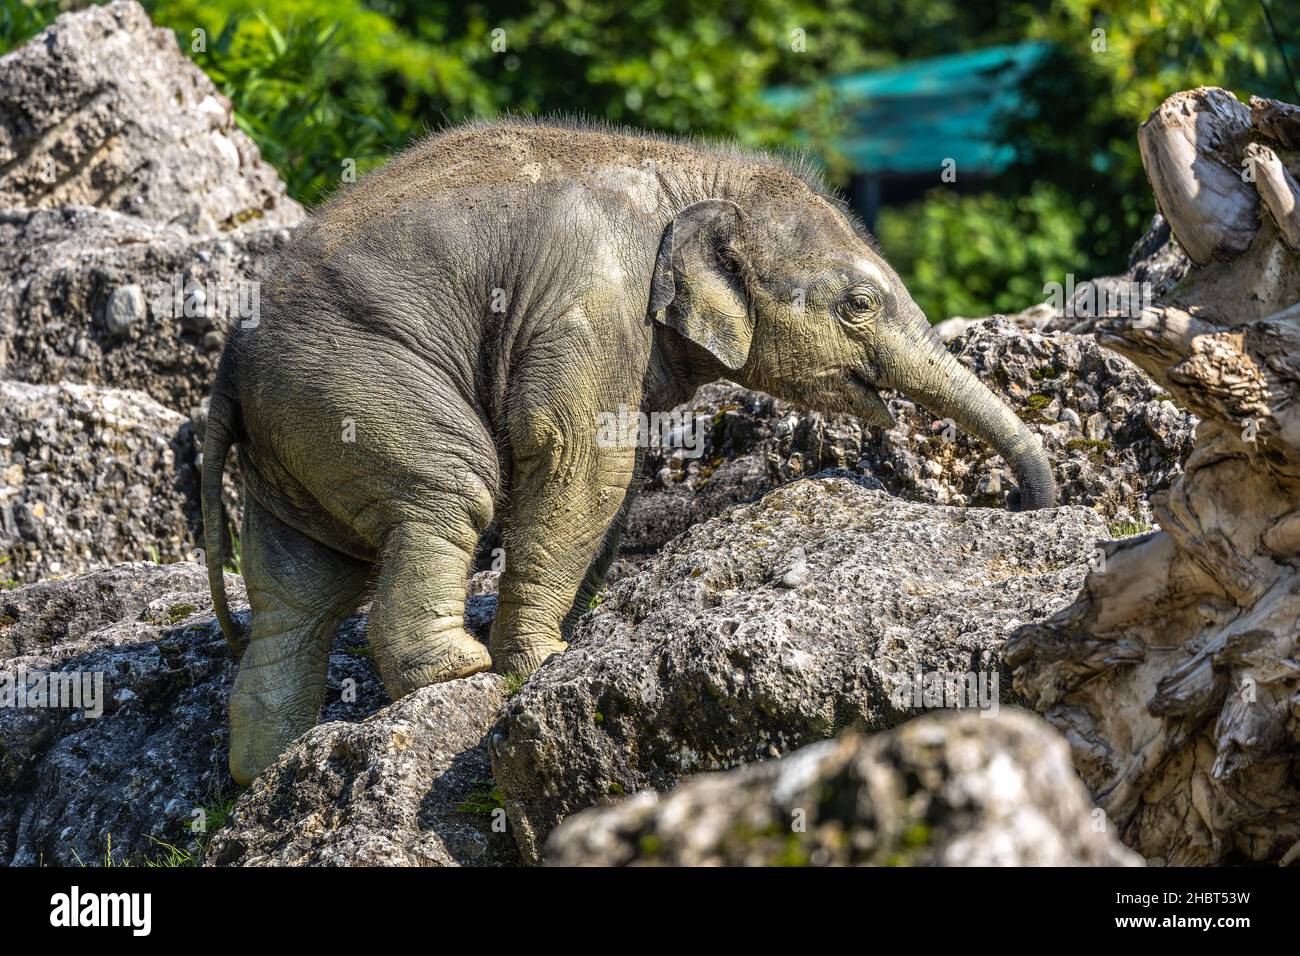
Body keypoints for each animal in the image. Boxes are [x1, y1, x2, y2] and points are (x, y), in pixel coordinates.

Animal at [202, 119, 1055, 784]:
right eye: (859, 305)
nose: (1026, 504)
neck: (691, 170)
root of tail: (230, 367)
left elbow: (616, 479)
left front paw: (564, 644)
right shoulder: (590, 304)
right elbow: (580, 458)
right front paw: (538, 664)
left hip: (297, 427)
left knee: (300, 586)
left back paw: (265, 768)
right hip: (357, 381)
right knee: (447, 495)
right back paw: (453, 671)